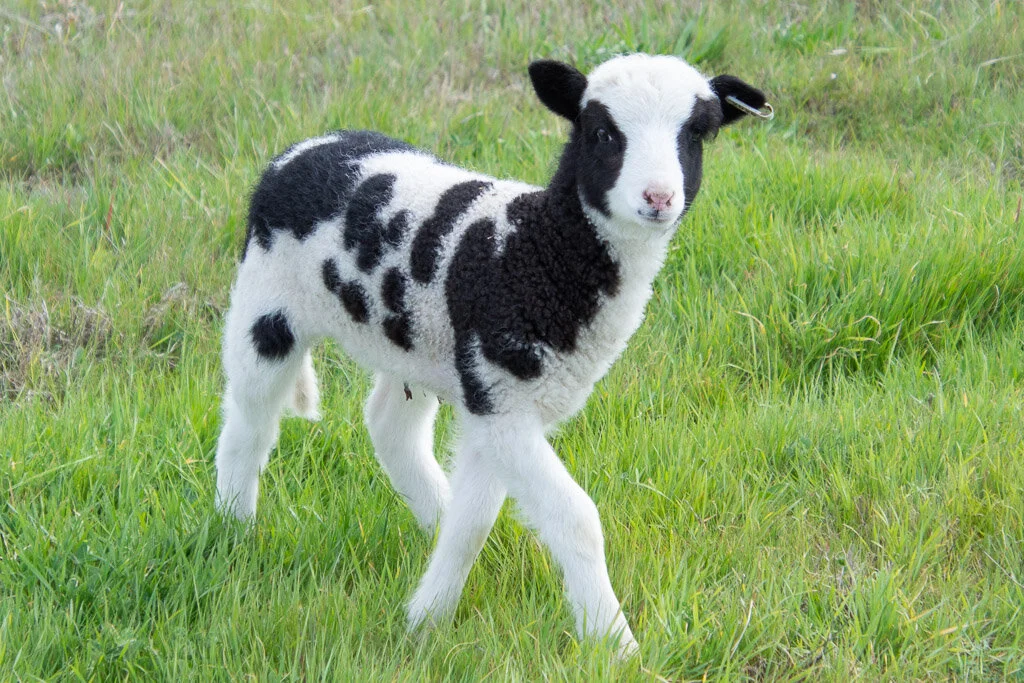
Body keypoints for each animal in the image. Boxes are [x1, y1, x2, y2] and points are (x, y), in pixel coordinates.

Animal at [215, 53, 769, 657]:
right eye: (602, 134)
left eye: (696, 135)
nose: (659, 199)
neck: (537, 252)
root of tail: (300, 150)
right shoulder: (499, 397)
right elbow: (576, 518)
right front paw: (614, 643)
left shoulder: (495, 398)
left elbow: (473, 520)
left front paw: (426, 617)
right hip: (267, 306)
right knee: (247, 425)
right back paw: (235, 531)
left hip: (418, 345)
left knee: (390, 426)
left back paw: (429, 517)